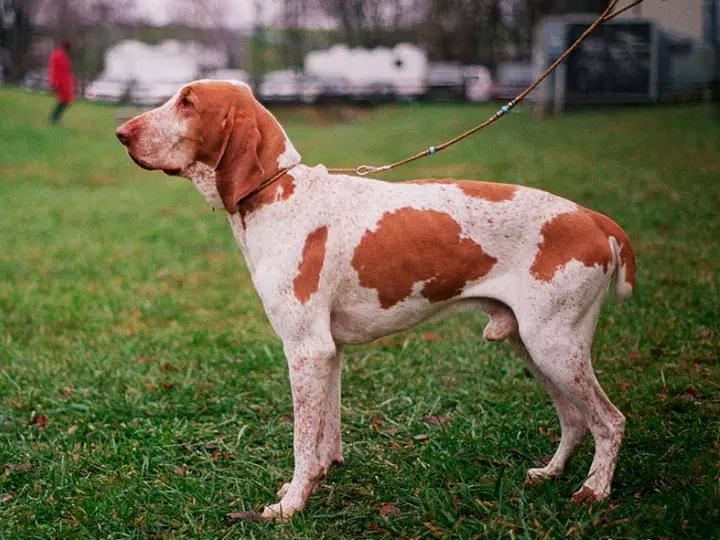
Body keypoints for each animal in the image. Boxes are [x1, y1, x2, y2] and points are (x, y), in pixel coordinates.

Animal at [114, 79, 636, 520]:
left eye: (187, 103)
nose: (121, 133)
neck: (279, 193)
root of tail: (594, 218)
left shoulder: (305, 351)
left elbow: (303, 441)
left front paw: (291, 505)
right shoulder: (328, 353)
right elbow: (325, 435)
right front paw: (316, 481)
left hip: (555, 346)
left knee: (609, 421)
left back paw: (595, 490)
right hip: (533, 345)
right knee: (575, 419)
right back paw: (550, 473)